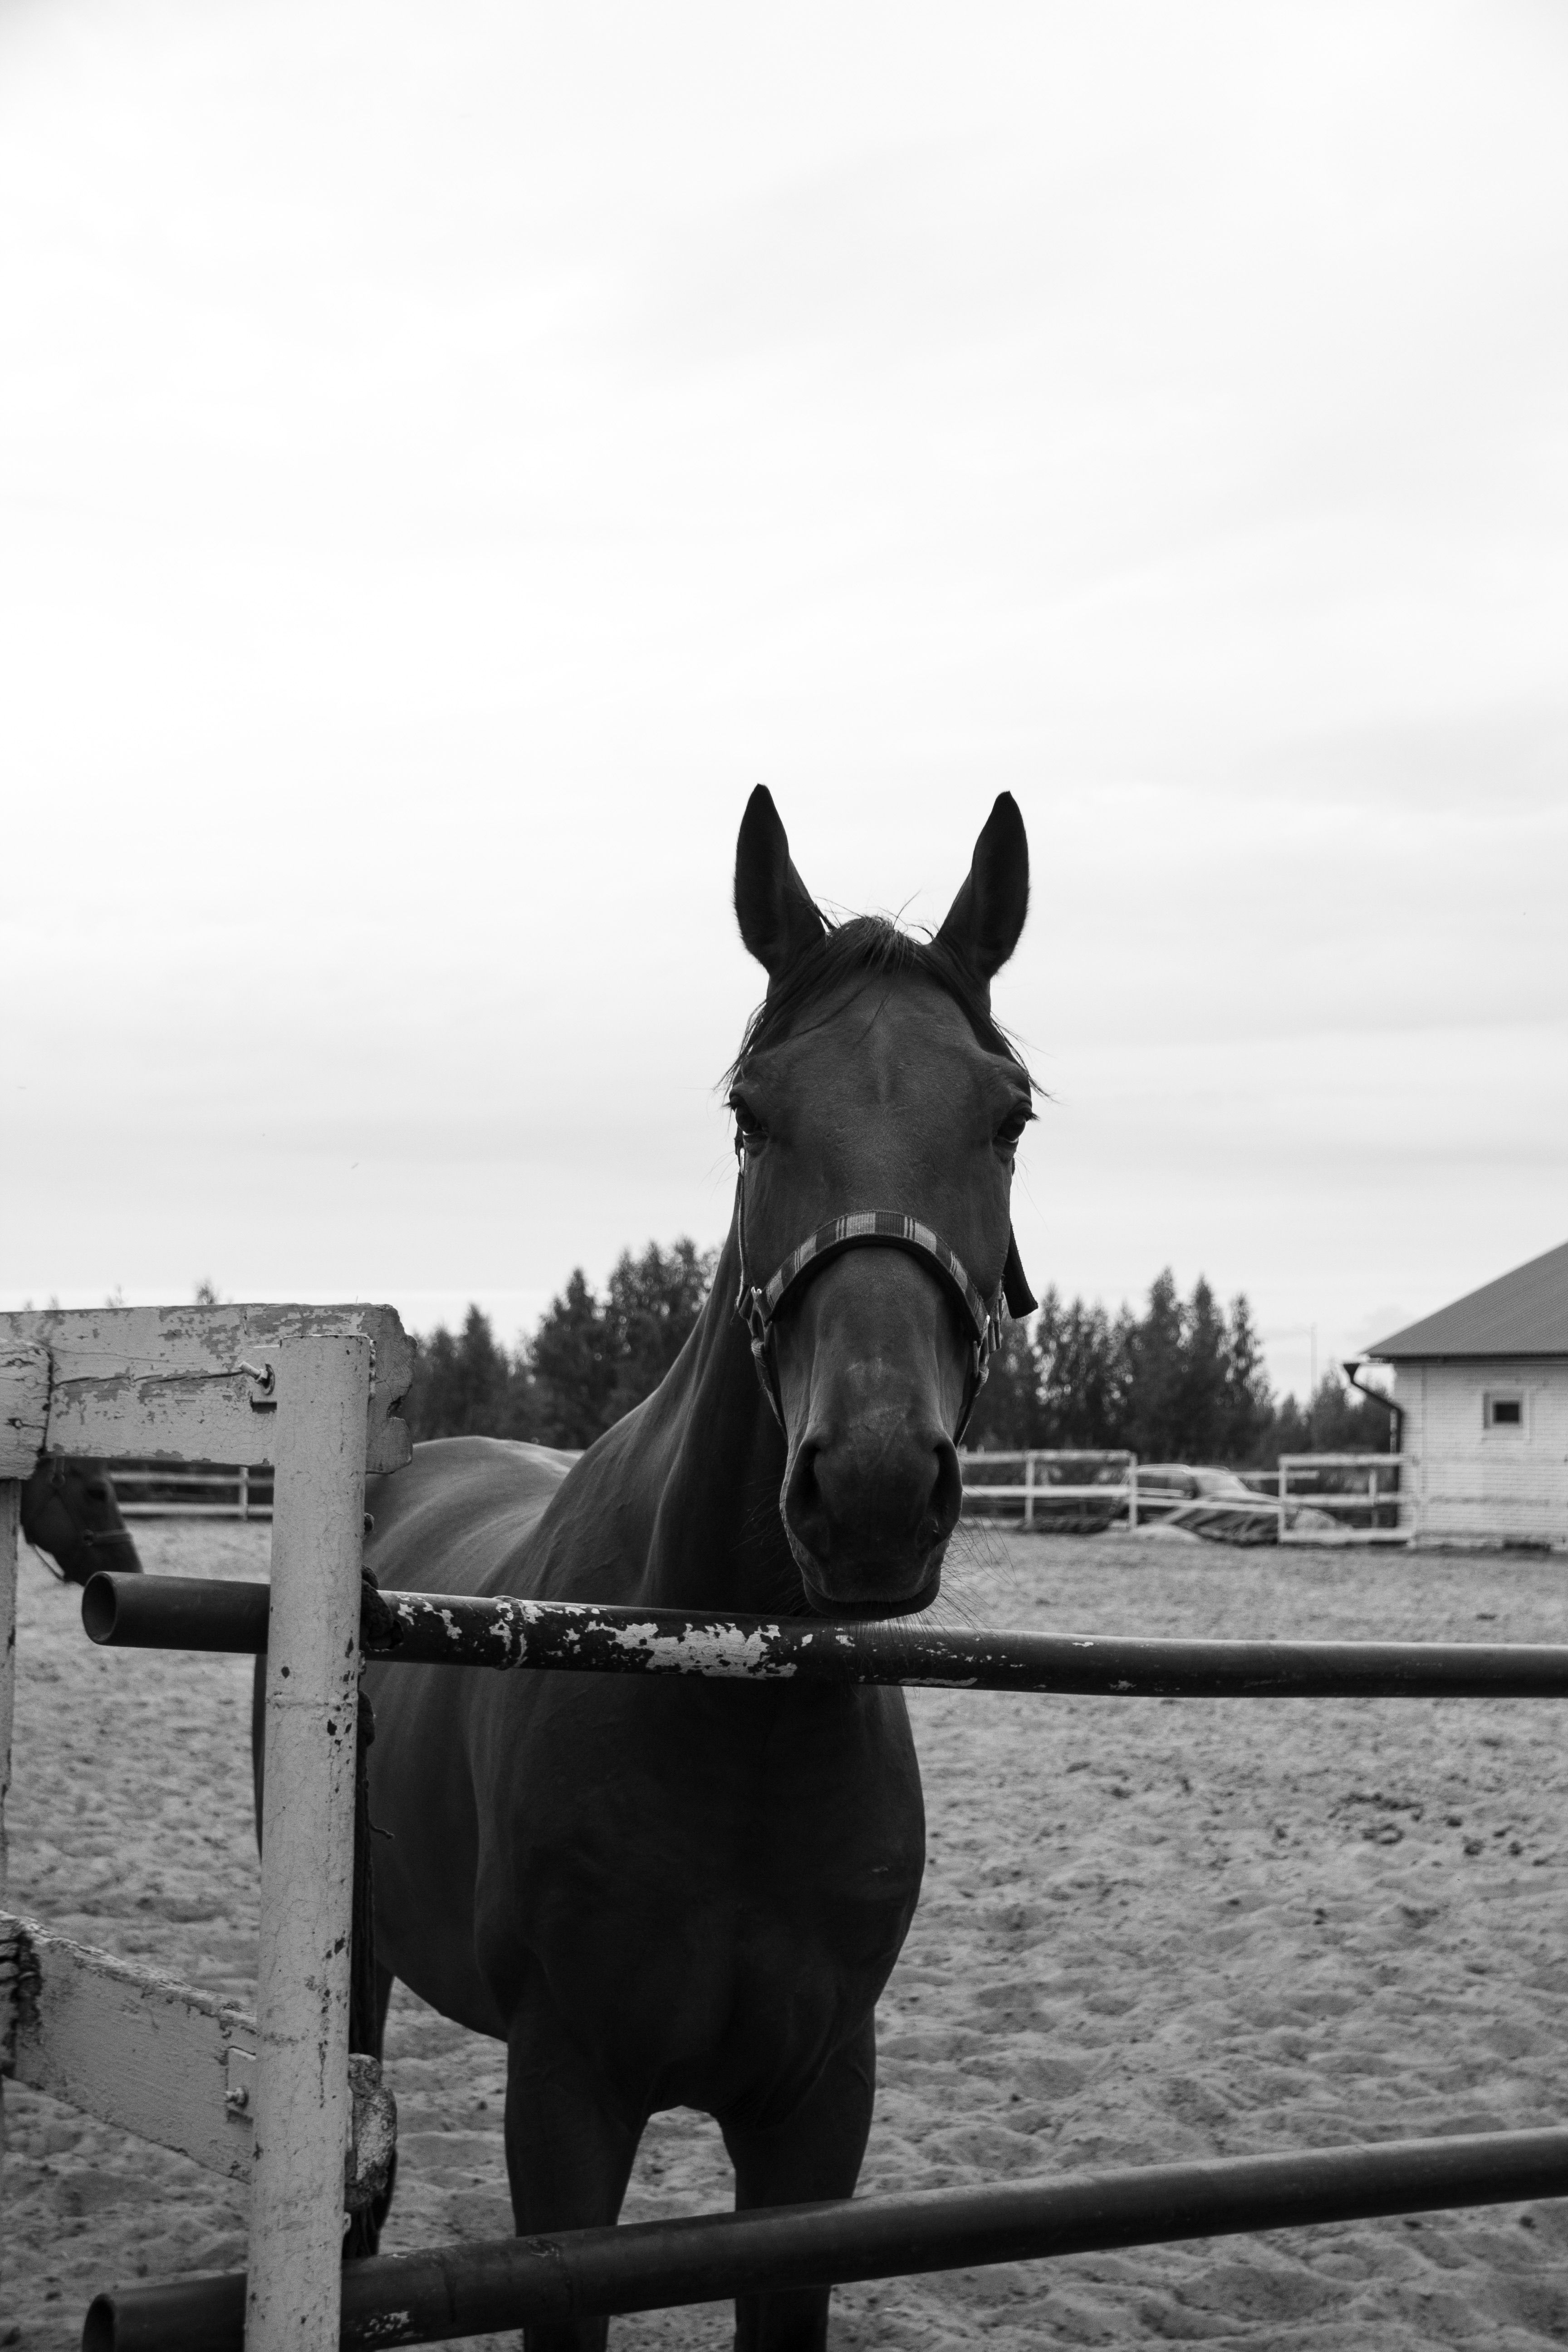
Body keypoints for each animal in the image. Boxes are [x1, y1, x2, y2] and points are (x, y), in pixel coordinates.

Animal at [274, 787, 1035, 2351]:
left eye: (1009, 1115)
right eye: (752, 1114)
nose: (872, 1488)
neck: (732, 1699)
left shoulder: (818, 2112)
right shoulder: (569, 2101)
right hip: (356, 1980)